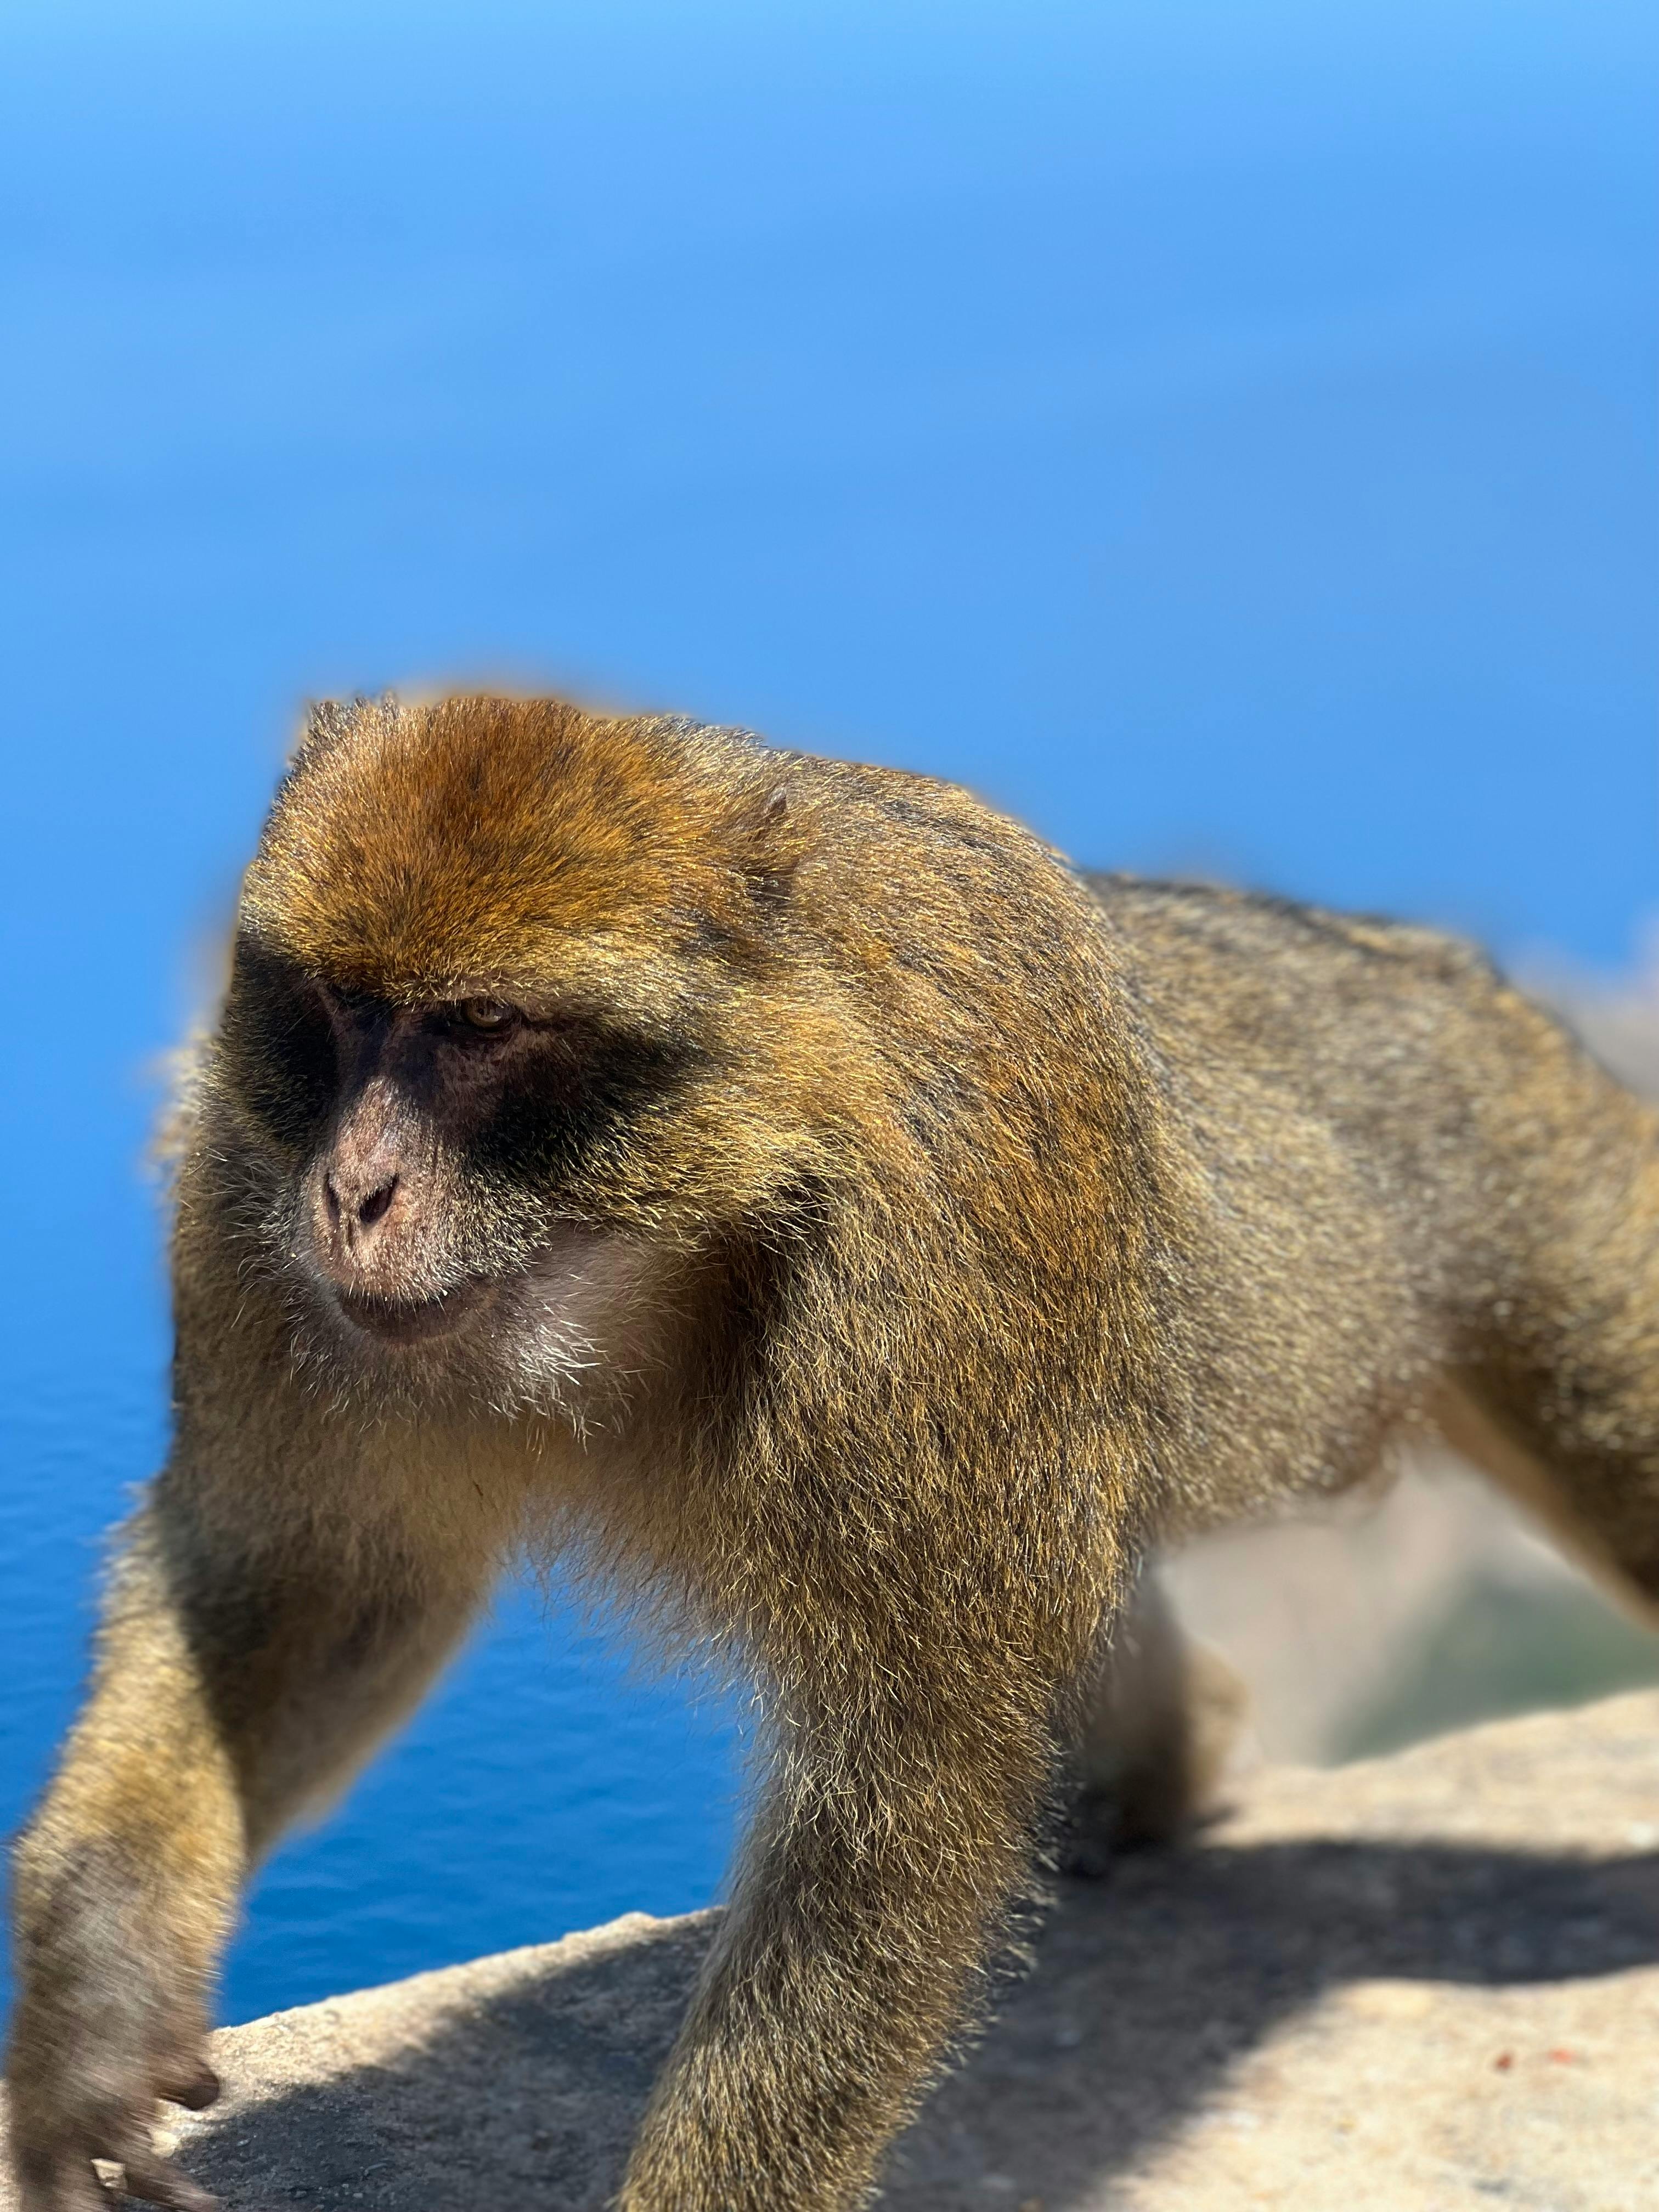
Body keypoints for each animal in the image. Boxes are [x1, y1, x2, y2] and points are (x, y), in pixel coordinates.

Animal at [8, 691, 1659, 2212]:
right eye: (339, 1010)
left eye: (479, 1030)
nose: (353, 1190)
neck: (673, 1238)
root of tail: (1438, 971)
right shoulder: (244, 1184)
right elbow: (299, 1584)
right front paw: (97, 2013)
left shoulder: (946, 1225)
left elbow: (909, 1775)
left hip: (1543, 1200)